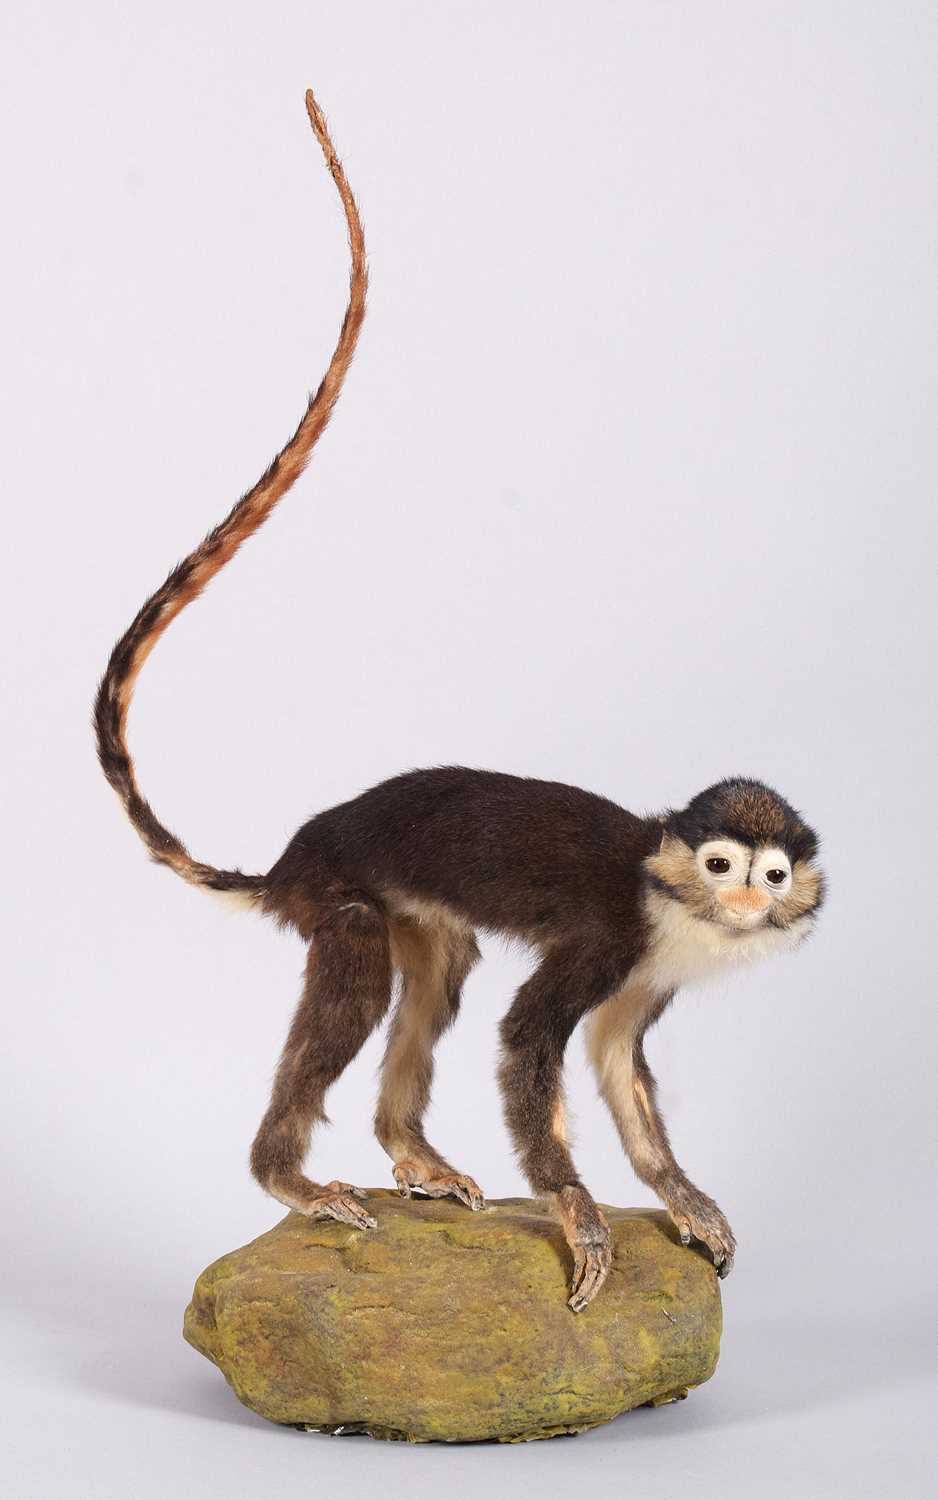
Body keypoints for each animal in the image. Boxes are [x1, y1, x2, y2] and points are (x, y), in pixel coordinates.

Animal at [94, 88, 825, 1313]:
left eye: (766, 878)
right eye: (723, 864)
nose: (739, 899)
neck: (668, 896)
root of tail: (294, 854)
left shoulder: (650, 969)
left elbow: (615, 1065)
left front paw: (680, 1200)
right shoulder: (612, 931)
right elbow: (530, 1041)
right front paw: (577, 1213)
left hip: (411, 906)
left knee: (435, 974)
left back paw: (408, 1153)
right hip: (338, 892)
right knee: (356, 964)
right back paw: (287, 1178)